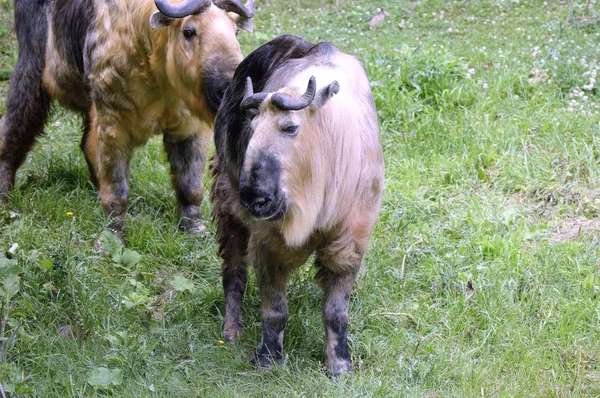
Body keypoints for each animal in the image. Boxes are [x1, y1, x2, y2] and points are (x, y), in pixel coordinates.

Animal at [0, 0, 254, 238]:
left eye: (235, 31)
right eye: (189, 32)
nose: (231, 89)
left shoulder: (191, 127)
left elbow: (190, 186)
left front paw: (193, 229)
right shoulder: (113, 124)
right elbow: (117, 190)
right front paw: (114, 237)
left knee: (86, 145)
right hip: (32, 69)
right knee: (14, 128)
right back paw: (4, 193)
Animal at [211, 35, 382, 376]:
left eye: (290, 127)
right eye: (252, 127)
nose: (255, 198)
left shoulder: (349, 240)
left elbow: (336, 311)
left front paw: (339, 364)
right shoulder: (268, 241)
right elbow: (275, 308)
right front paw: (268, 357)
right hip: (228, 205)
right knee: (234, 269)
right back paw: (232, 329)